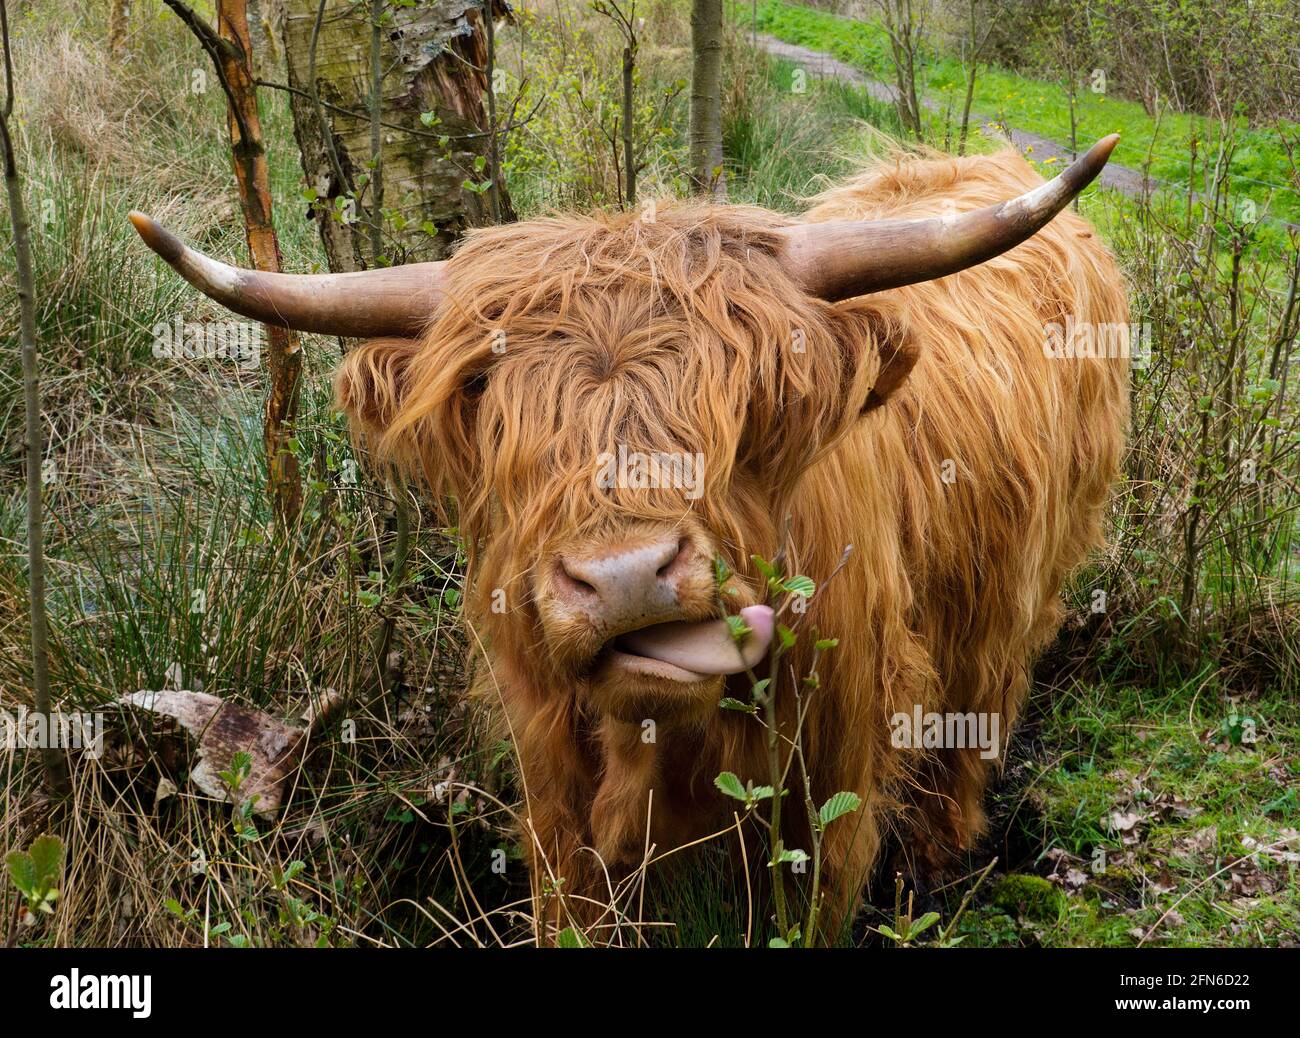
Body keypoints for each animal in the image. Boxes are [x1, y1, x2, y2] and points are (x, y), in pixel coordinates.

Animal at [129, 135, 1130, 937]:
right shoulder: (554, 784)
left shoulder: (828, 786)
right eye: (484, 394)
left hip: (1017, 603)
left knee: (980, 710)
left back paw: (938, 857)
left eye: (753, 394)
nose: (624, 578)